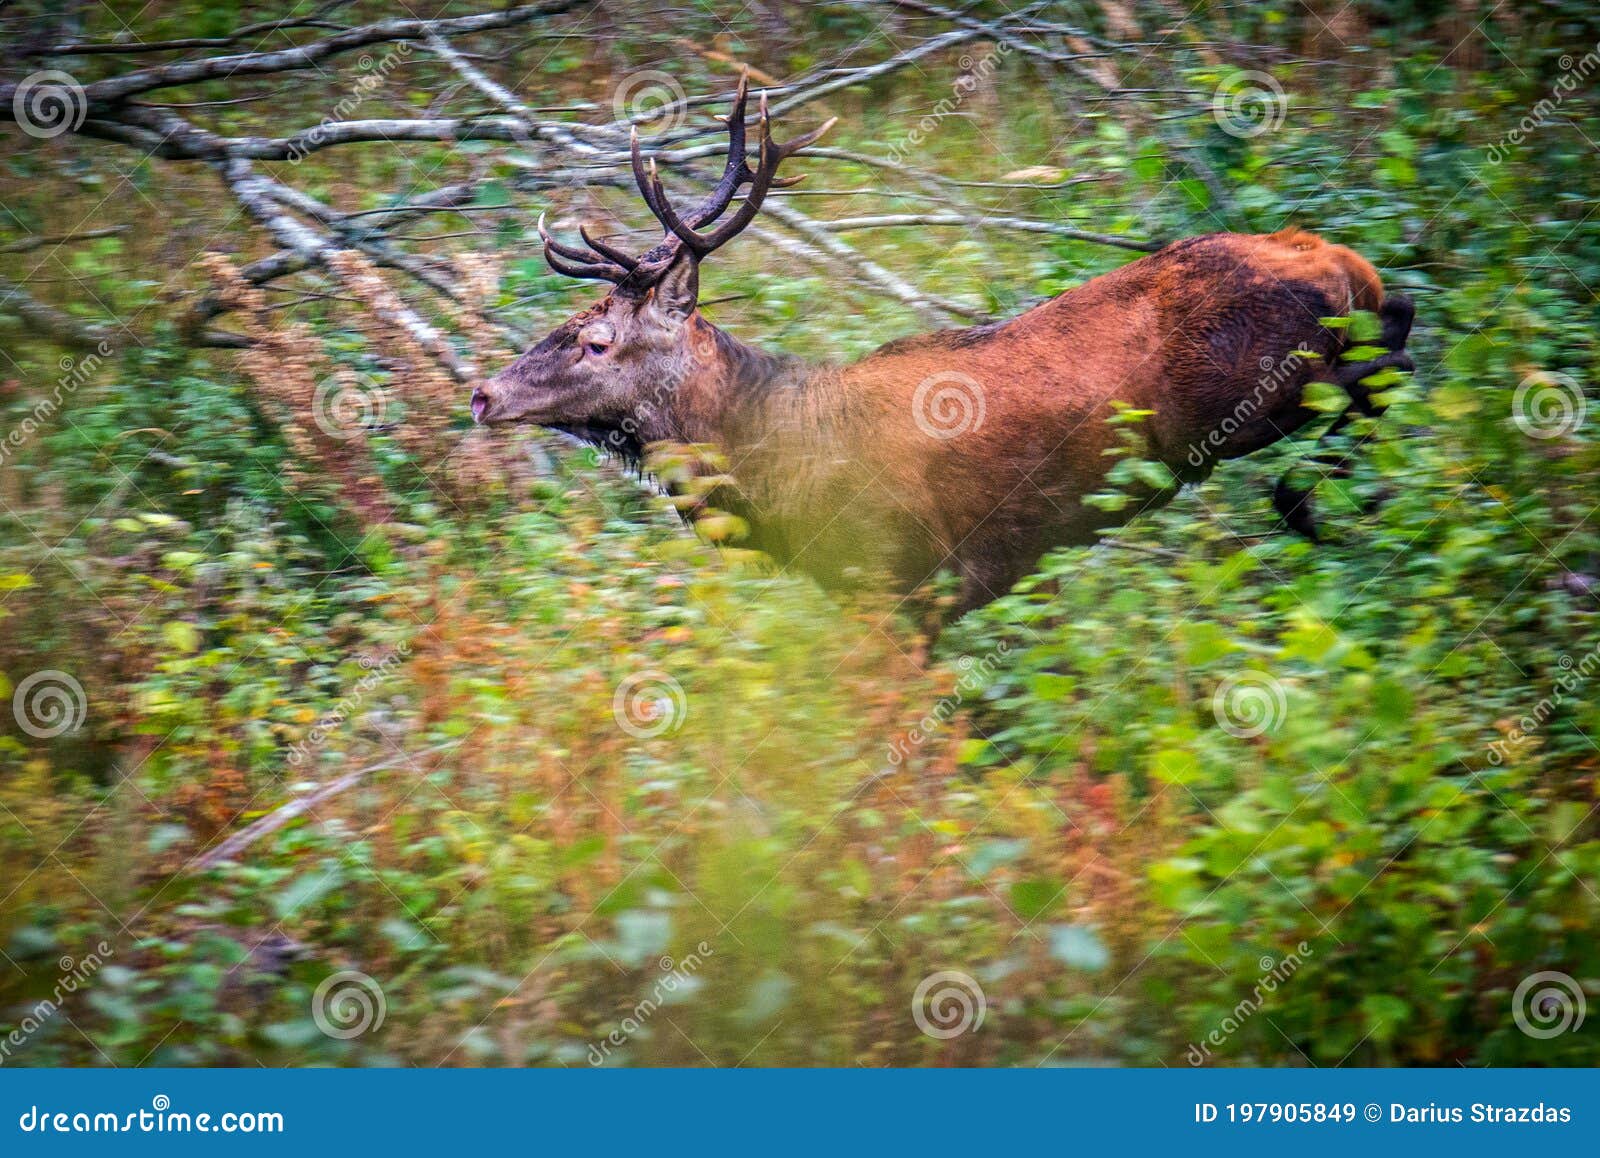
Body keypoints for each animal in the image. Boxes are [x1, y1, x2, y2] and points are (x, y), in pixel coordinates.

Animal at [471, 72, 1415, 623]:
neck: (777, 462)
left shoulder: (907, 574)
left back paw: (1321, 504)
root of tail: (1333, 258)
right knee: (1398, 322)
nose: (483, 394)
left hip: (1247, 394)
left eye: (596, 341)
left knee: (1384, 361)